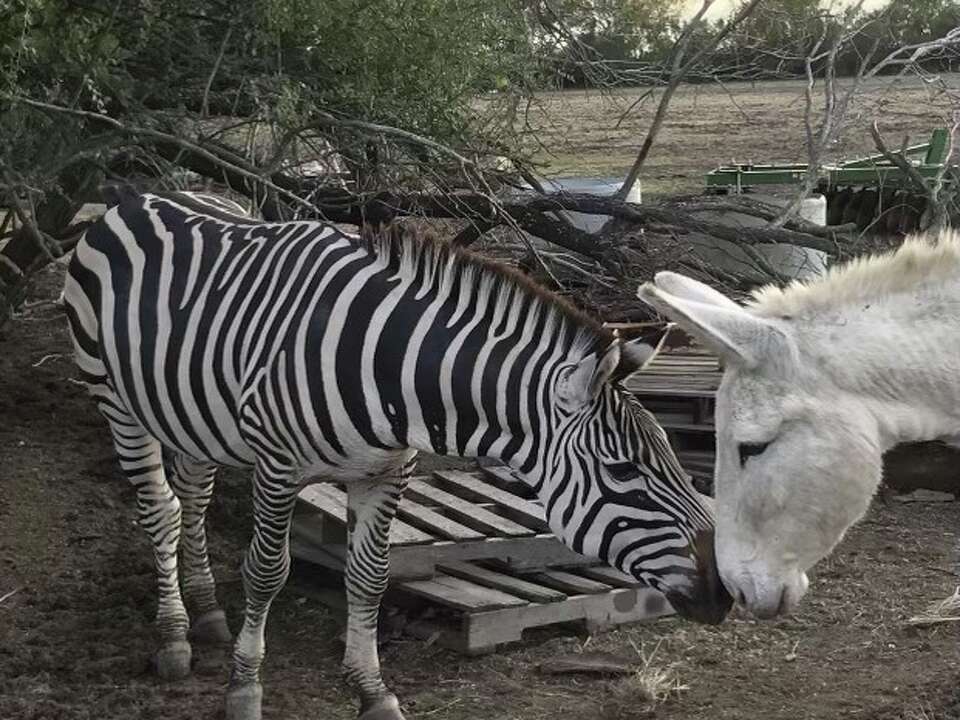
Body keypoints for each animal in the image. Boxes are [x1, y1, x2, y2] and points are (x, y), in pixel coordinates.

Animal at [62, 190, 731, 720]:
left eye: (670, 453)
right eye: (622, 471)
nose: (726, 590)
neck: (395, 375)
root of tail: (133, 197)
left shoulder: (388, 472)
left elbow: (370, 577)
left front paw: (372, 692)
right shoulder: (278, 466)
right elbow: (267, 571)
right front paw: (244, 689)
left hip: (192, 415)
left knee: (194, 500)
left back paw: (204, 614)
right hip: (117, 403)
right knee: (163, 511)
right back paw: (174, 636)